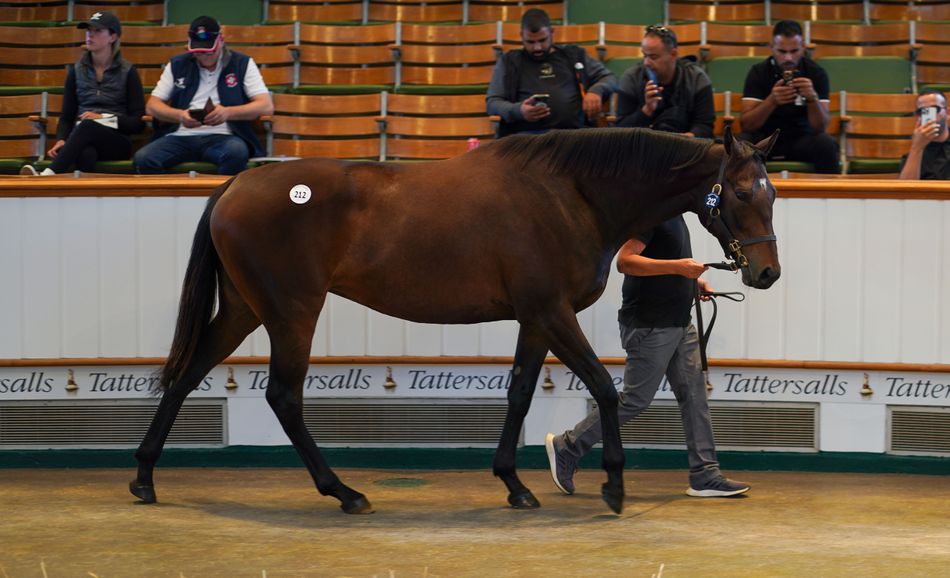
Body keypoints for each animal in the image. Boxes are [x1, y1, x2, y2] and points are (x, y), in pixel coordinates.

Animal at [129, 126, 781, 515]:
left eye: (772, 194)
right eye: (741, 194)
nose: (767, 273)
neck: (569, 196)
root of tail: (238, 182)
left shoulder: (534, 320)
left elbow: (520, 393)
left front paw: (515, 484)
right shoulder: (552, 312)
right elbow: (604, 388)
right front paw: (613, 486)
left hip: (245, 309)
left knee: (186, 374)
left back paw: (145, 477)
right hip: (292, 311)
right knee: (283, 396)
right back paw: (344, 492)